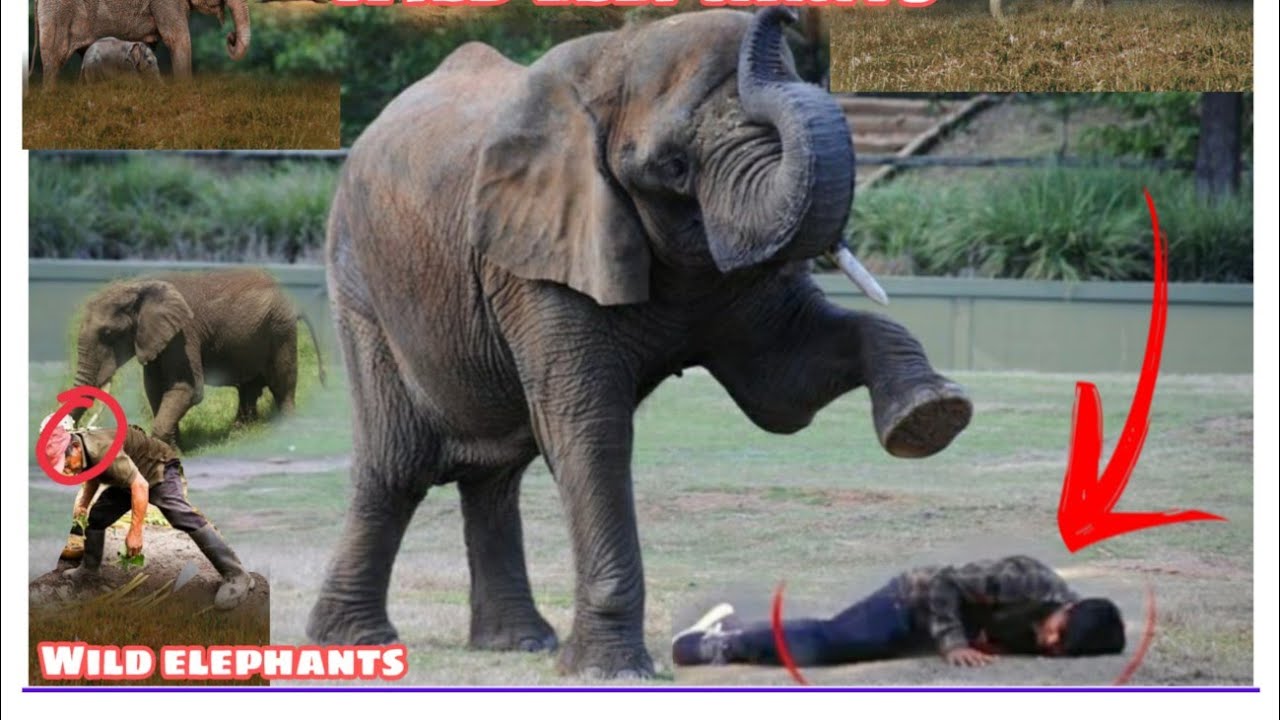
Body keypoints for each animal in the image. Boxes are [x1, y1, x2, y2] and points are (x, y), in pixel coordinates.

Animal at [69, 268, 326, 447]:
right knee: (249, 388)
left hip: (281, 330)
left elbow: (188, 389)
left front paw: (165, 450)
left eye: (107, 334)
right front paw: (175, 448)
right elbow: (155, 389)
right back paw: (240, 434)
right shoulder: (156, 338)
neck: (138, 286)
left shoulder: (183, 335)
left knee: (282, 382)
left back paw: (285, 430)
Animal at [308, 8, 972, 678]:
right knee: (398, 465)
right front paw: (612, 671)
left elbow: (784, 384)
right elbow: (590, 427)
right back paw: (357, 643)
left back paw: (517, 642)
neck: (617, 58)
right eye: (673, 167)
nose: (782, 15)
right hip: (359, 283)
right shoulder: (540, 255)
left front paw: (928, 417)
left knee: (495, 474)